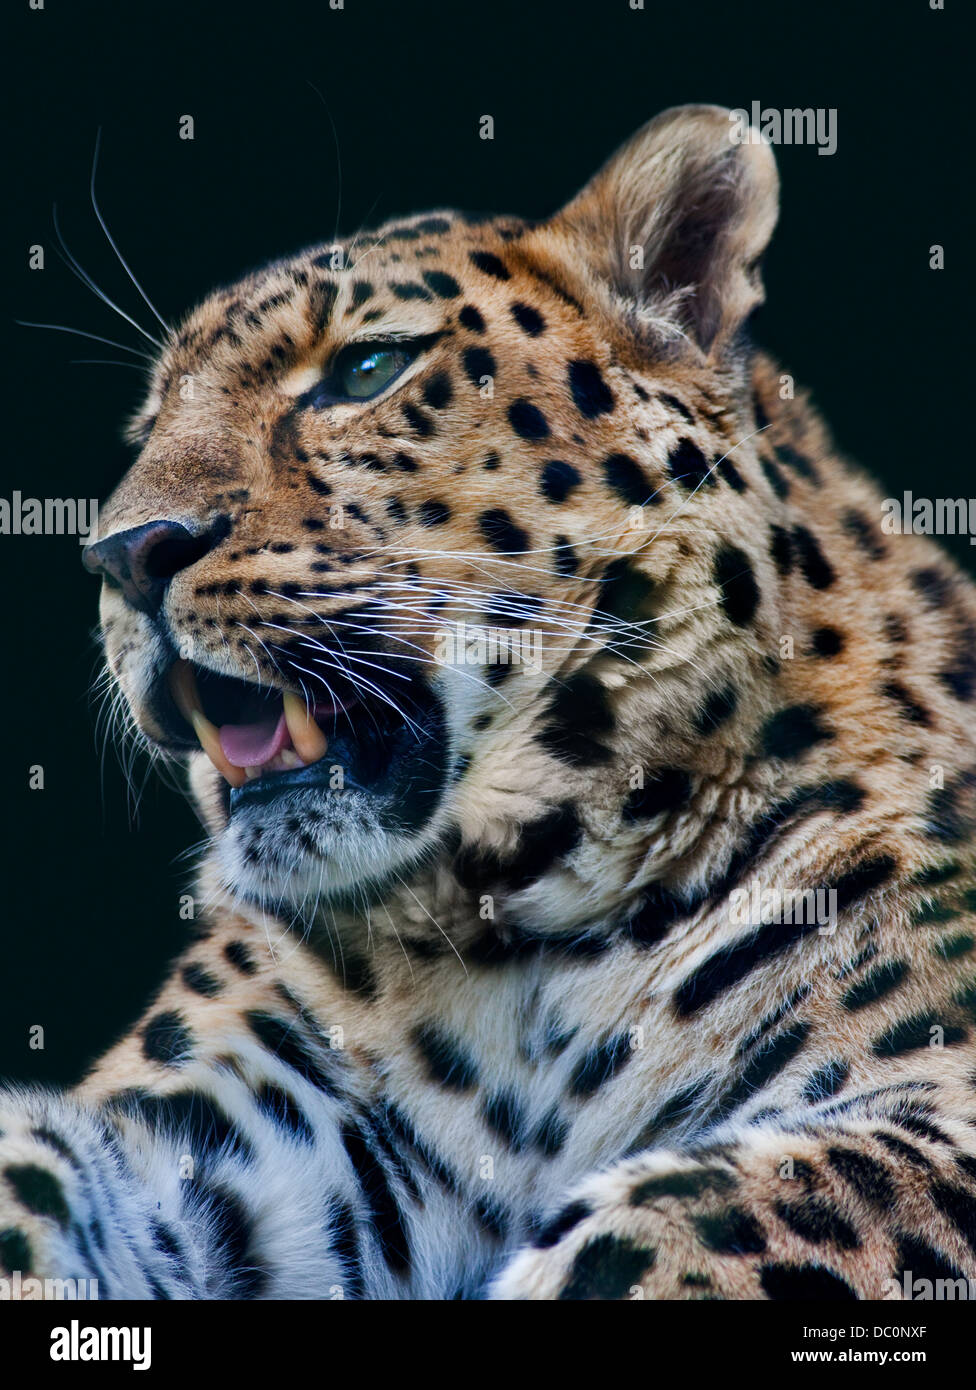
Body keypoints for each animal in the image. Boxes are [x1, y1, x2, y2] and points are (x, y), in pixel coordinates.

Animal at [2, 104, 975, 1302]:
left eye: (366, 368)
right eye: (149, 429)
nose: (124, 554)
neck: (519, 937)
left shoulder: (937, 1095)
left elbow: (678, 1220)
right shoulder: (214, 1142)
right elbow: (35, 1166)